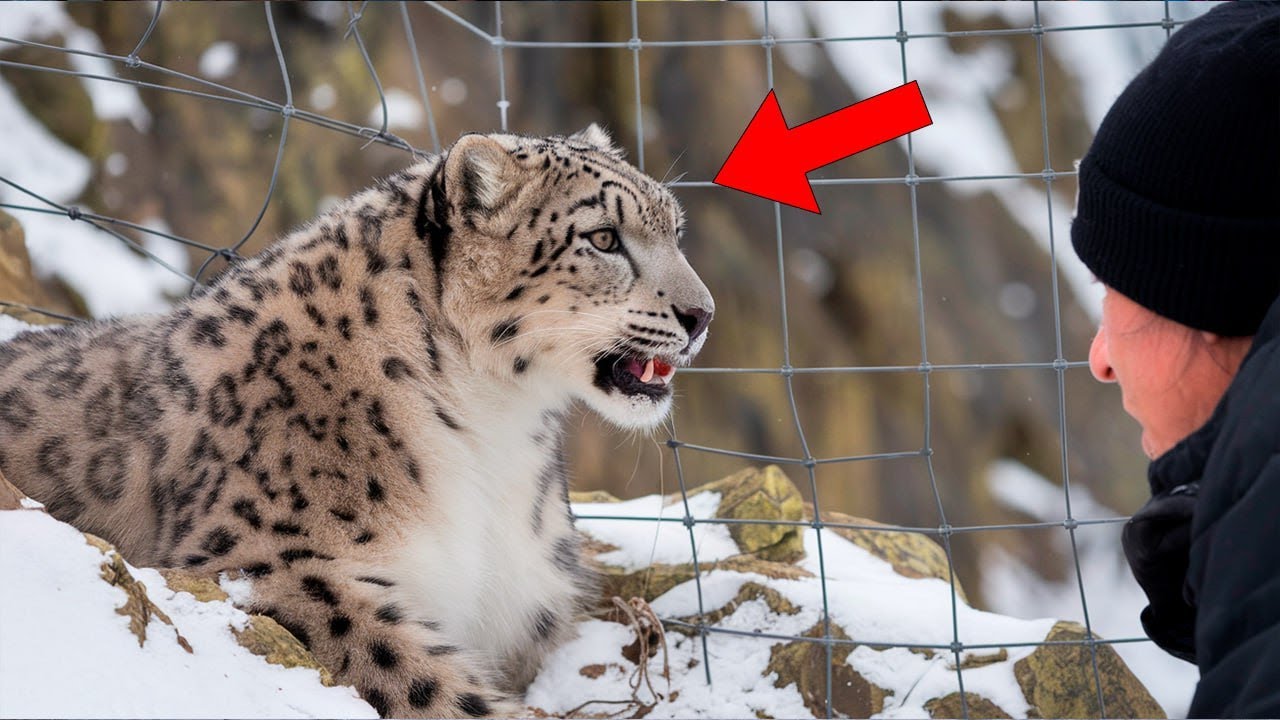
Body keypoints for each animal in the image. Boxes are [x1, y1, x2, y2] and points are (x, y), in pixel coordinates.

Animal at [0, 125, 713, 718]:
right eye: (603, 237)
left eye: (676, 231)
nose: (702, 314)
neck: (496, 430)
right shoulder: (270, 560)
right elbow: (419, 678)